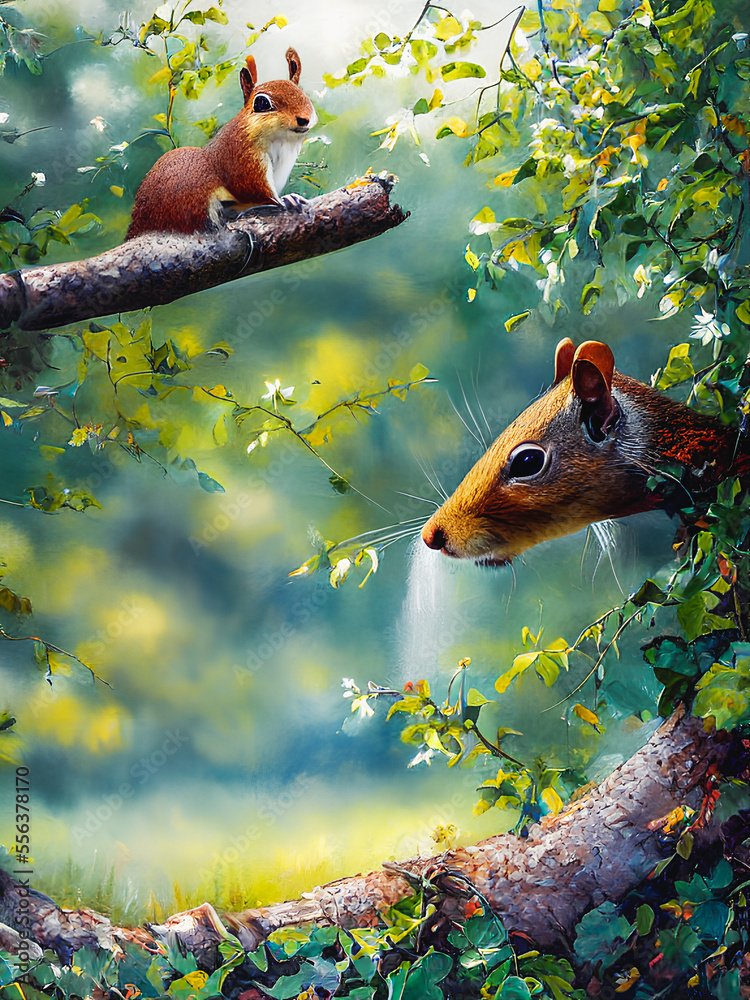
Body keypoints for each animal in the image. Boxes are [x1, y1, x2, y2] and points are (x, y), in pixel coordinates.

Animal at [126, 47, 316, 240]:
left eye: (304, 95)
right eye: (262, 103)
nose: (304, 119)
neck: (281, 142)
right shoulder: (240, 159)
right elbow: (257, 191)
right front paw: (286, 199)